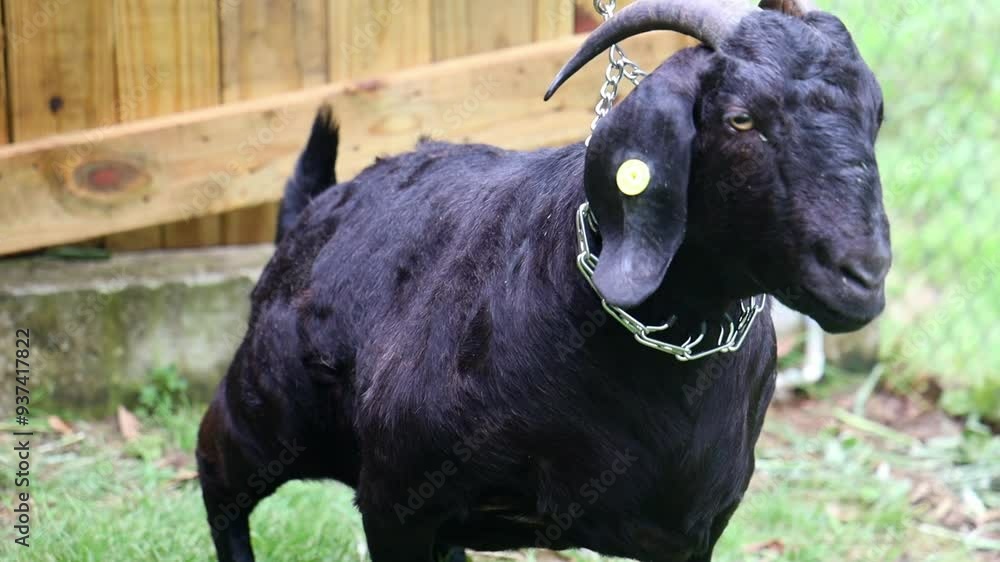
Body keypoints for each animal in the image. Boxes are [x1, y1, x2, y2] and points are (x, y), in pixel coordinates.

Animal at [197, 0, 891, 560]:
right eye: (742, 119)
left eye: (875, 114)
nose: (864, 273)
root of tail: (316, 208)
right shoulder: (396, 501)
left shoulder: (688, 534)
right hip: (266, 411)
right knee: (217, 474)